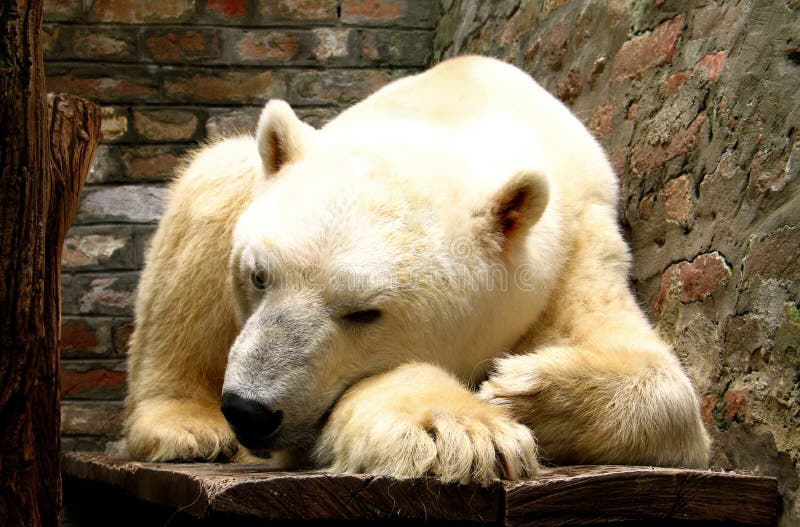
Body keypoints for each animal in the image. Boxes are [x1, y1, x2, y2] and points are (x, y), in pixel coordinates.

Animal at [124, 55, 710, 484]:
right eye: (258, 276)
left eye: (364, 313)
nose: (248, 410)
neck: (459, 109)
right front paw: (463, 432)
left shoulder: (579, 240)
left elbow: (665, 388)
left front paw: (520, 391)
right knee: (215, 180)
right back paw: (184, 424)